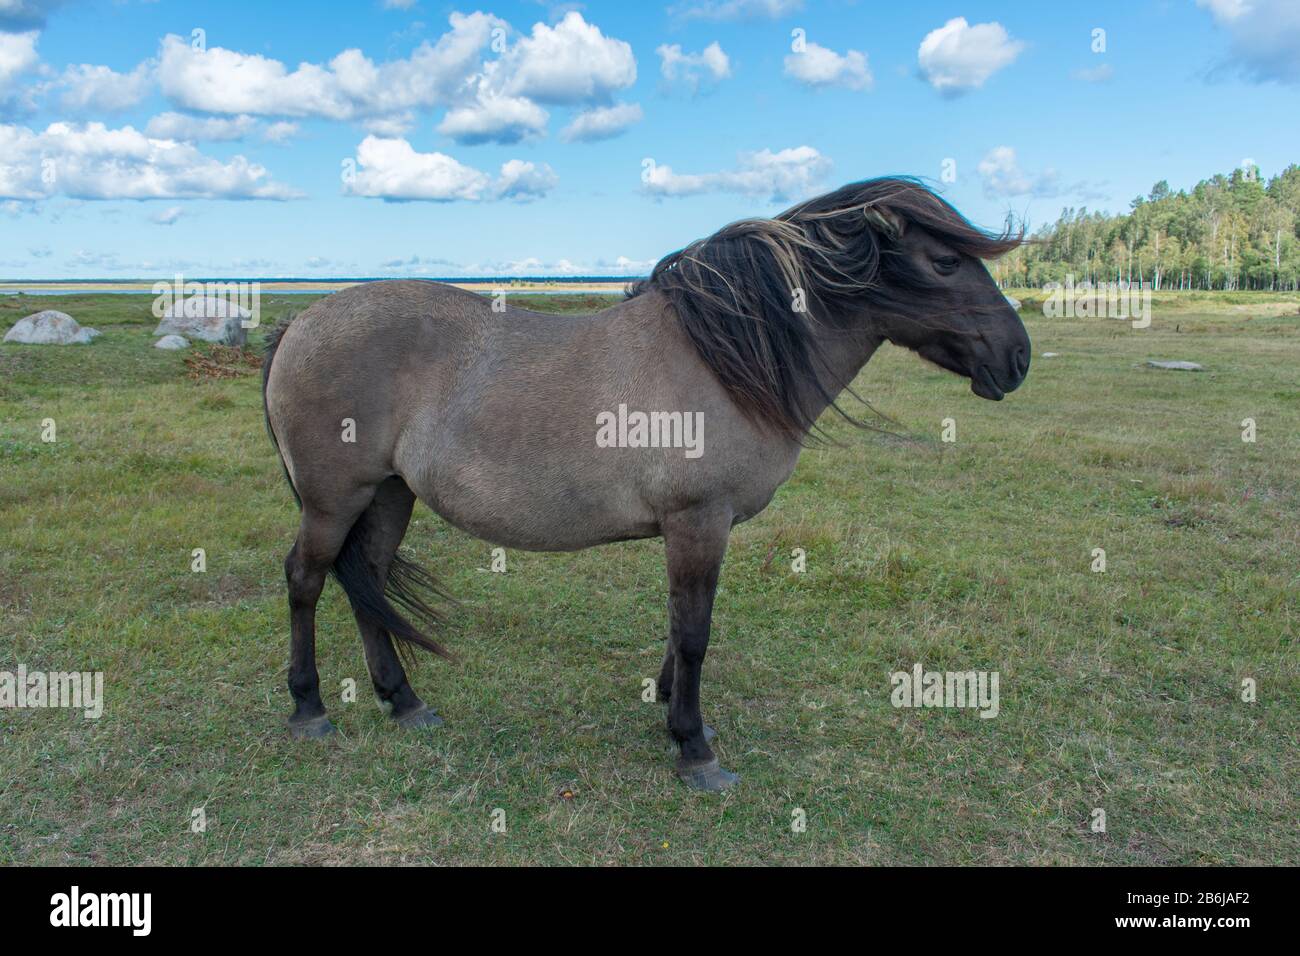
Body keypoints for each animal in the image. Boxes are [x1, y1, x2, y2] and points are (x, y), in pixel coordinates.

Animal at [261, 176, 1030, 791]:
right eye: (943, 261)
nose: (1017, 356)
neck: (723, 358)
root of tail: (299, 322)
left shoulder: (693, 529)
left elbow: (678, 623)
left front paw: (678, 714)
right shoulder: (698, 520)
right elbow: (694, 633)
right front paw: (694, 749)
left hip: (390, 493)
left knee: (367, 579)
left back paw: (404, 701)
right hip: (335, 501)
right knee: (306, 578)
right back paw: (310, 708)